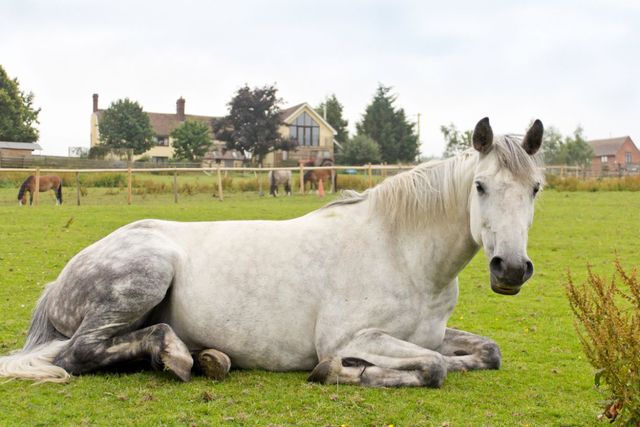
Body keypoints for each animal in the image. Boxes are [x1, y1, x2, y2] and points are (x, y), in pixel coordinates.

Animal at [0, 118, 545, 387]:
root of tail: (58, 283)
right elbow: (432, 368)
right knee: (80, 353)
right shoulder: (352, 336)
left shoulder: (429, 334)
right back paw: (176, 355)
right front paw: (342, 371)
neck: (401, 254)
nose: (511, 269)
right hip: (147, 273)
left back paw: (204, 358)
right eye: (479, 186)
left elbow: (485, 353)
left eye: (536, 188)